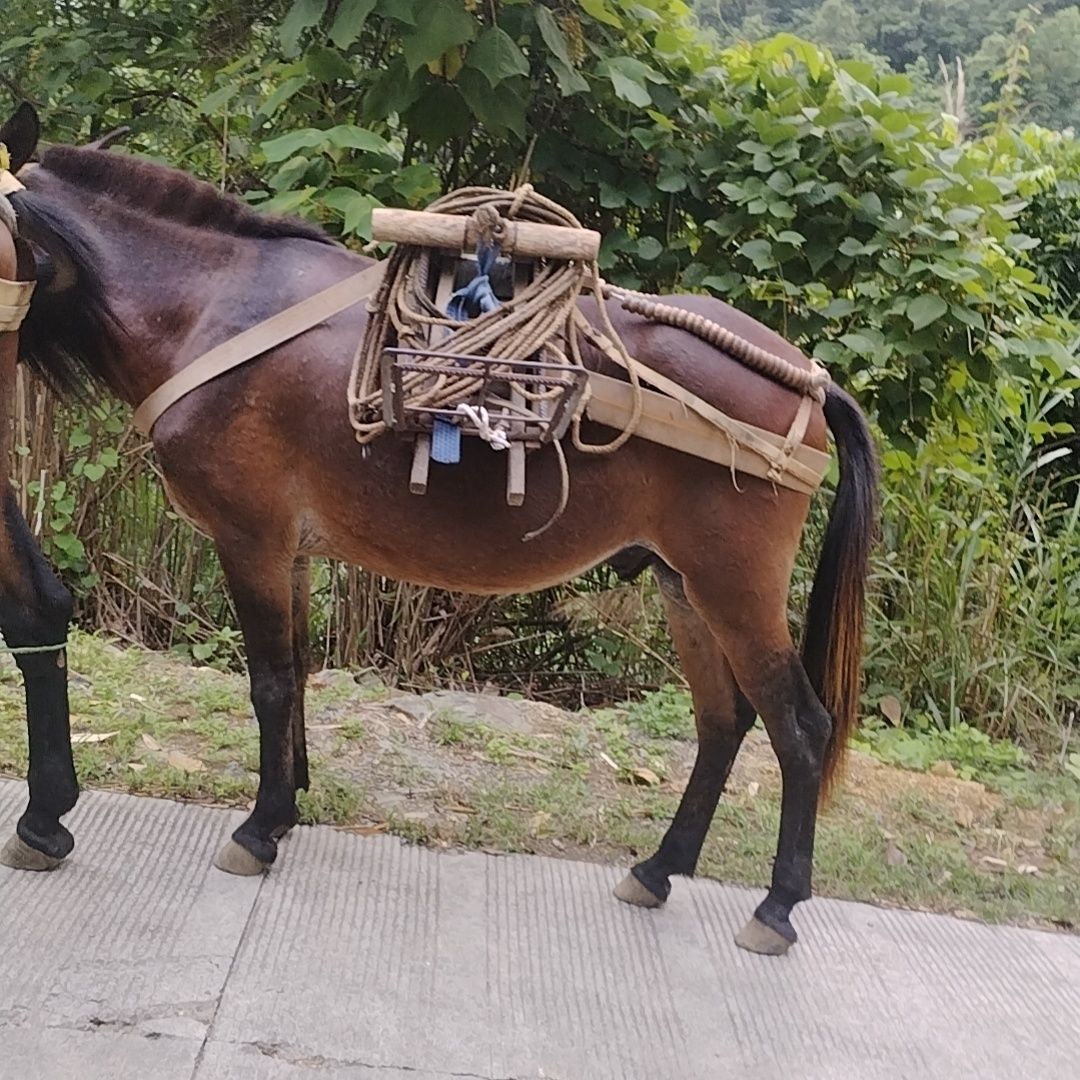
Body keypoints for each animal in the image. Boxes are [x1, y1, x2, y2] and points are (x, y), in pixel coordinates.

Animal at [0, 102, 877, 956]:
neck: (208, 306)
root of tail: (810, 379)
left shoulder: (250, 539)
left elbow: (271, 682)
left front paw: (259, 826)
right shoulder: (290, 552)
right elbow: (298, 676)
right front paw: (288, 808)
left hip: (734, 584)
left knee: (800, 729)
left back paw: (776, 906)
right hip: (683, 583)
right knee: (723, 722)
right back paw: (659, 868)